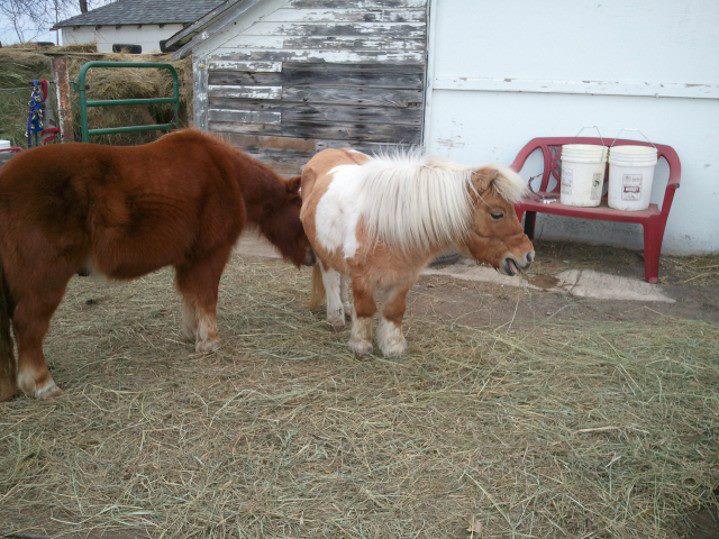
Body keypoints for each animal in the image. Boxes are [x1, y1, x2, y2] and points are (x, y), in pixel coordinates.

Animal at [0, 129, 312, 401]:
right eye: (300, 211)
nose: (312, 256)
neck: (227, 174)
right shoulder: (210, 255)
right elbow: (206, 296)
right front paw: (210, 341)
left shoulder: (188, 259)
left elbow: (190, 295)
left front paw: (192, 334)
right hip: (44, 282)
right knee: (29, 324)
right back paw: (42, 385)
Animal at [299, 148, 535, 357]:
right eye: (497, 213)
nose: (528, 255)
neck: (385, 226)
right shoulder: (363, 279)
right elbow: (365, 310)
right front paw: (360, 345)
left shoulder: (403, 279)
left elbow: (394, 311)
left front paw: (393, 347)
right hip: (323, 251)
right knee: (331, 279)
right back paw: (336, 317)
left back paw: (347, 309)